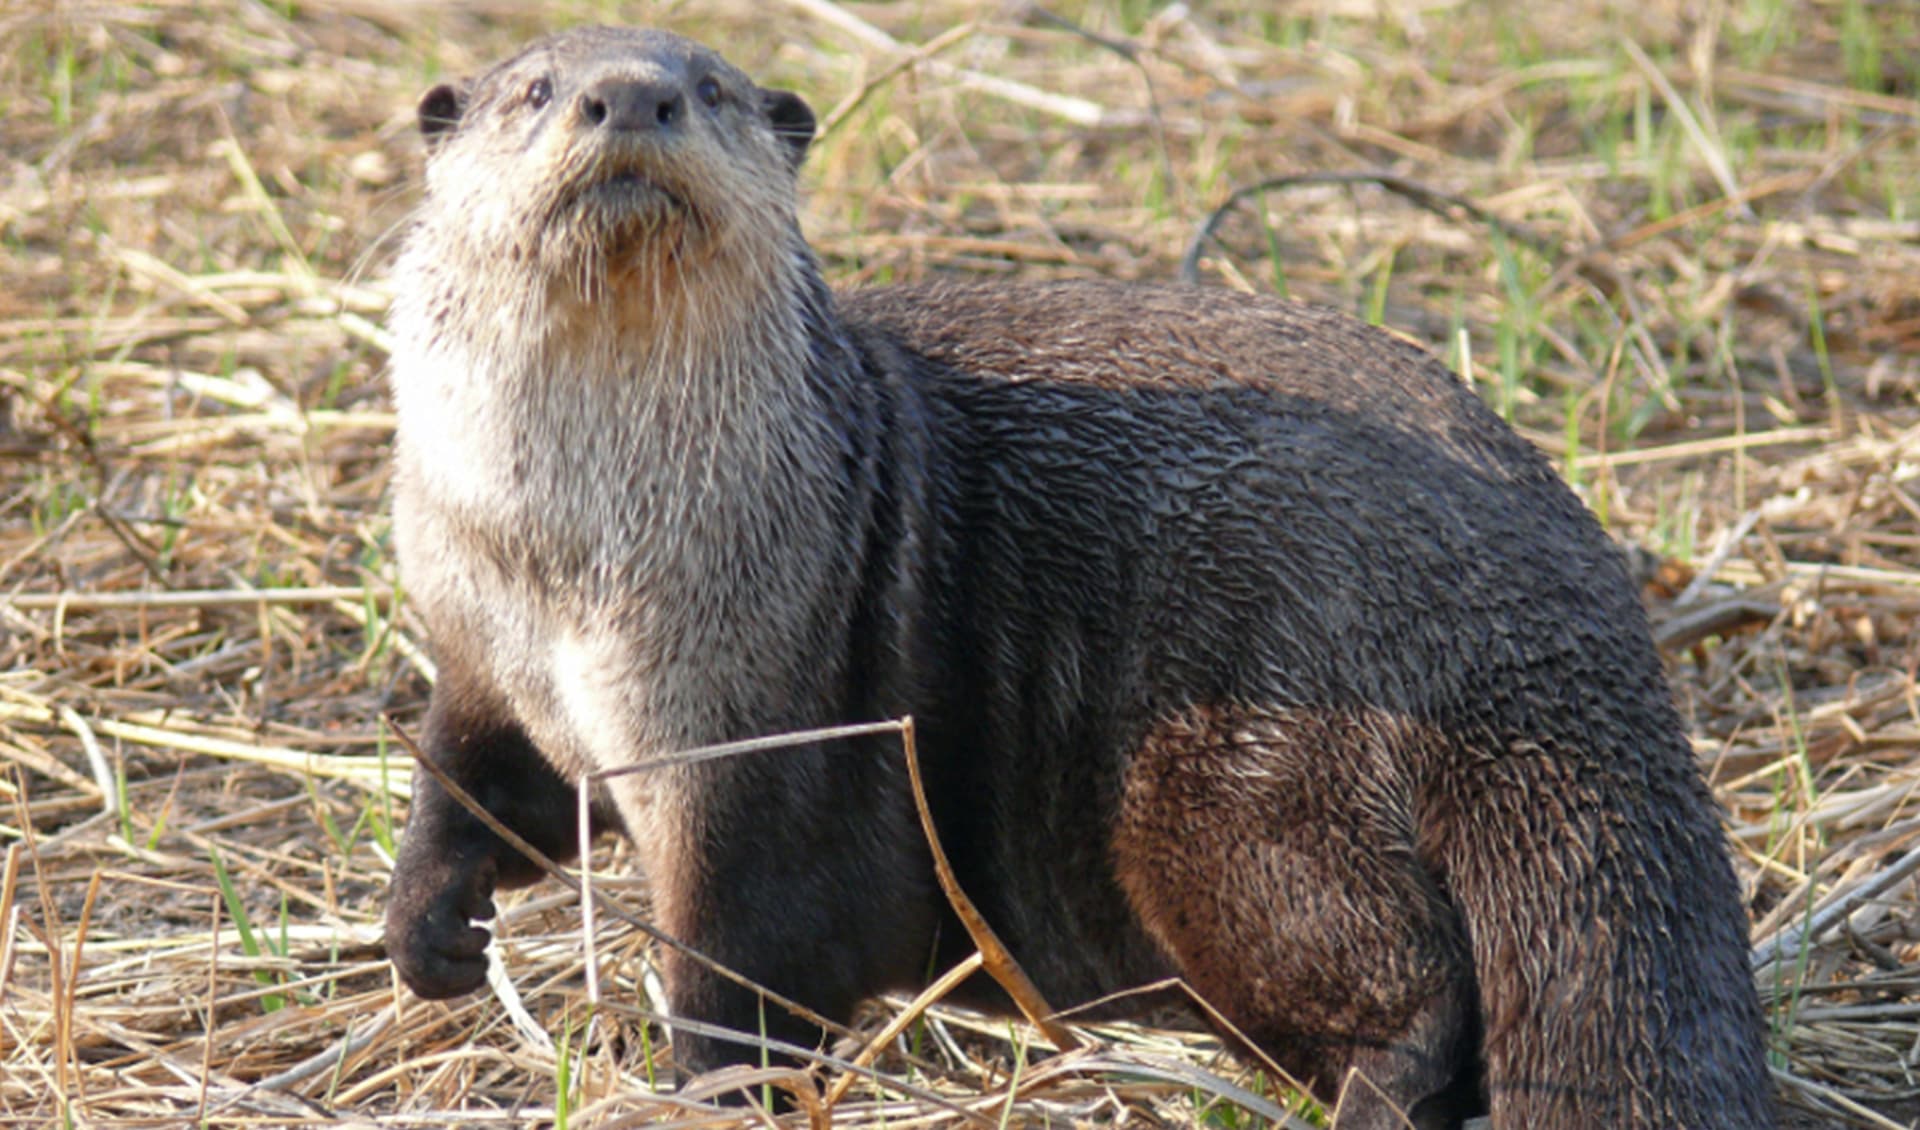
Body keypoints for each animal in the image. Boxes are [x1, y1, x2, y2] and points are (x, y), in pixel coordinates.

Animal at [381, 26, 1774, 1129]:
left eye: (710, 87)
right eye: (536, 88)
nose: (630, 99)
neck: (577, 571)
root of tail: (1555, 627)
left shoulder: (758, 734)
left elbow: (746, 954)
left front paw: (714, 1091)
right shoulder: (479, 643)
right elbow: (468, 778)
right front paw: (427, 935)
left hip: (1239, 780)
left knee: (1397, 974)